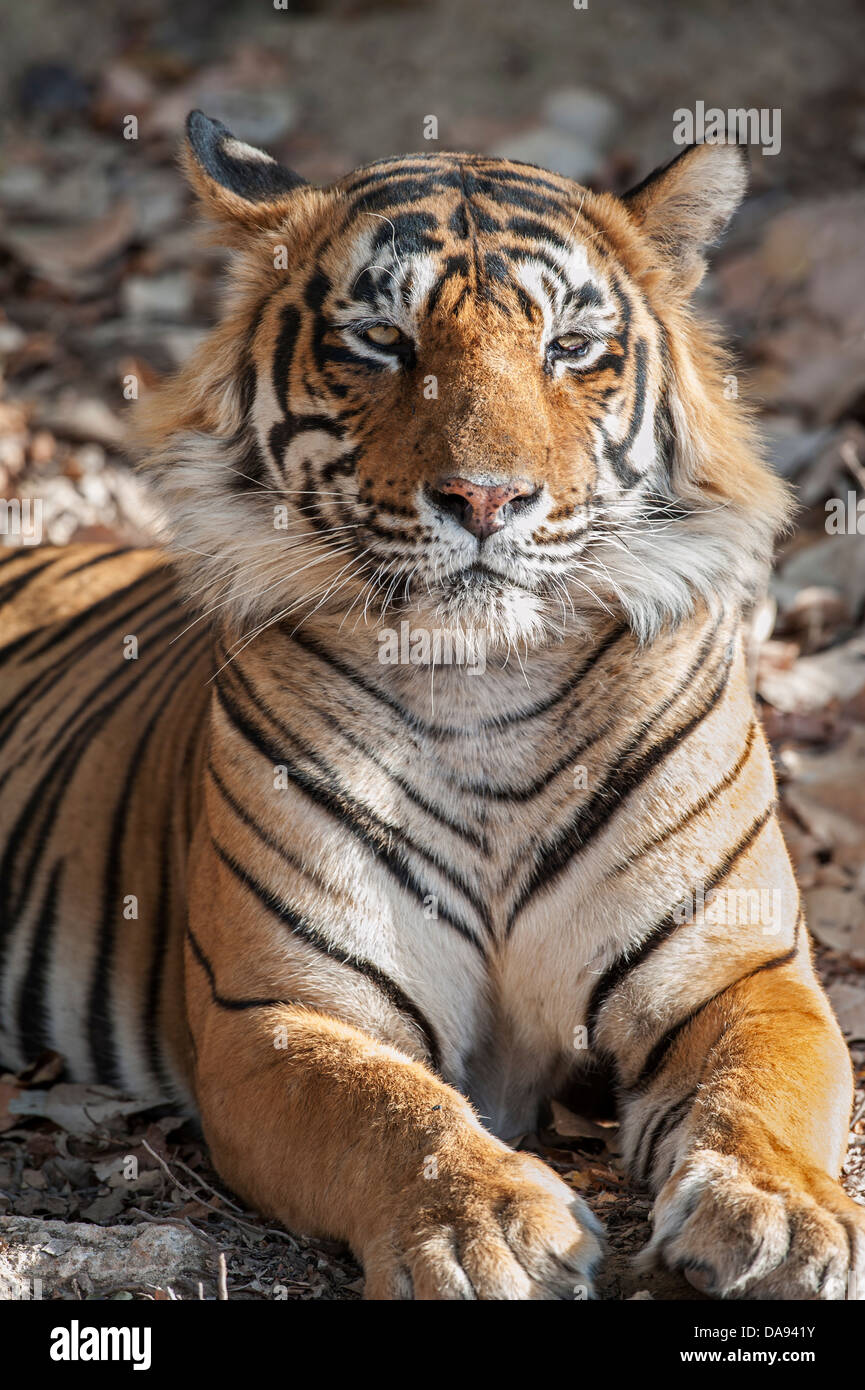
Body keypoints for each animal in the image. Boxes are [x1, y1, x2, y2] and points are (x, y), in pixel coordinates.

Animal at [0, 109, 862, 1302]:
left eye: (569, 347)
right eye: (381, 340)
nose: (485, 499)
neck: (483, 683)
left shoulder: (739, 968)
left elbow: (763, 1087)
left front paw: (777, 1215)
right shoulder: (280, 1012)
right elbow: (386, 1112)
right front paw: (484, 1223)